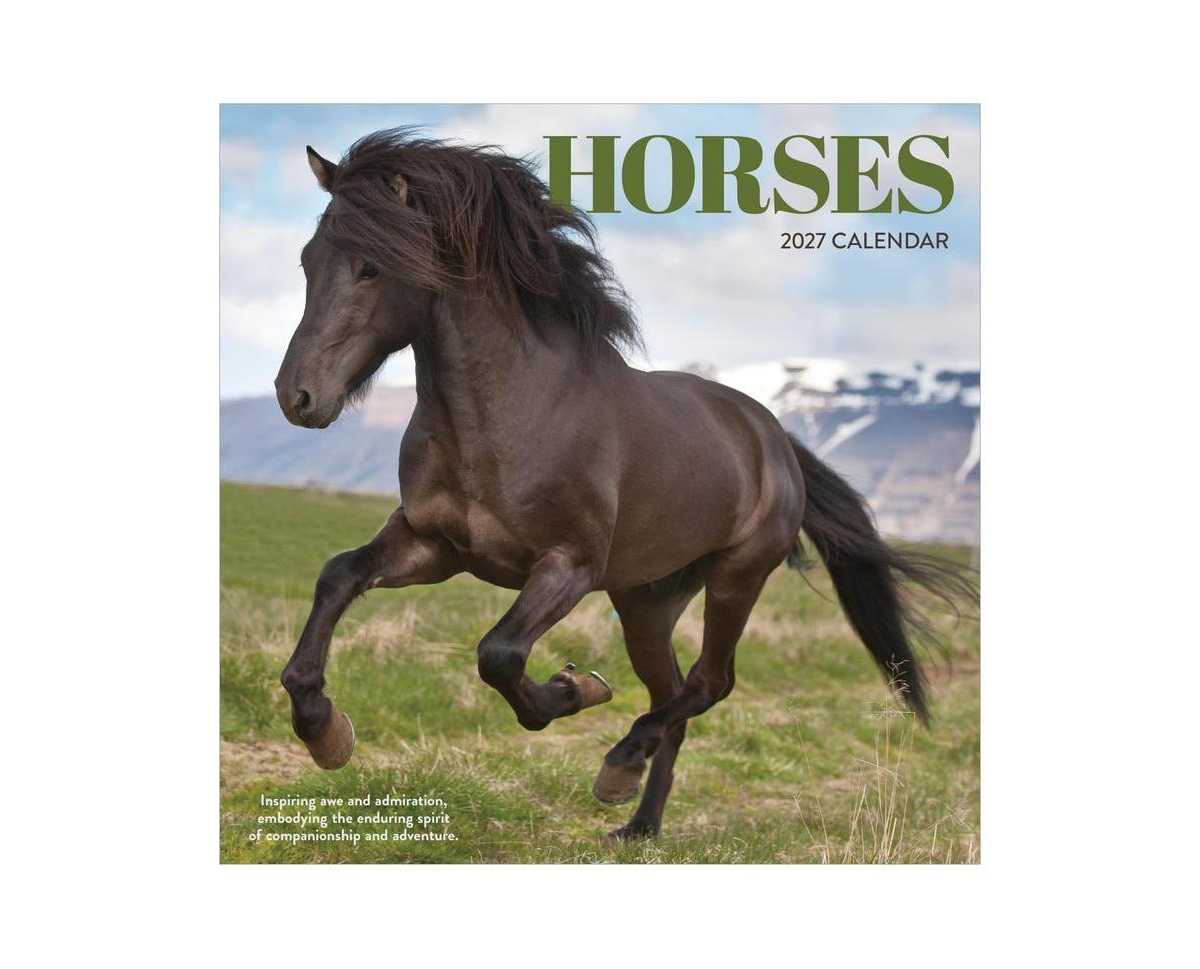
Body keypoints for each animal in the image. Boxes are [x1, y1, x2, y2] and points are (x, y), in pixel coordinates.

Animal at [273, 128, 976, 840]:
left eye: (370, 267)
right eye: (306, 261)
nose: (296, 396)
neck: (507, 415)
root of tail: (774, 437)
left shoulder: (569, 565)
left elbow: (500, 653)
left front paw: (574, 689)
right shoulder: (433, 546)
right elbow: (337, 576)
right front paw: (324, 730)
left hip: (736, 577)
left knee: (709, 683)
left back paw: (619, 765)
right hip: (646, 602)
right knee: (674, 697)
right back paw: (638, 821)